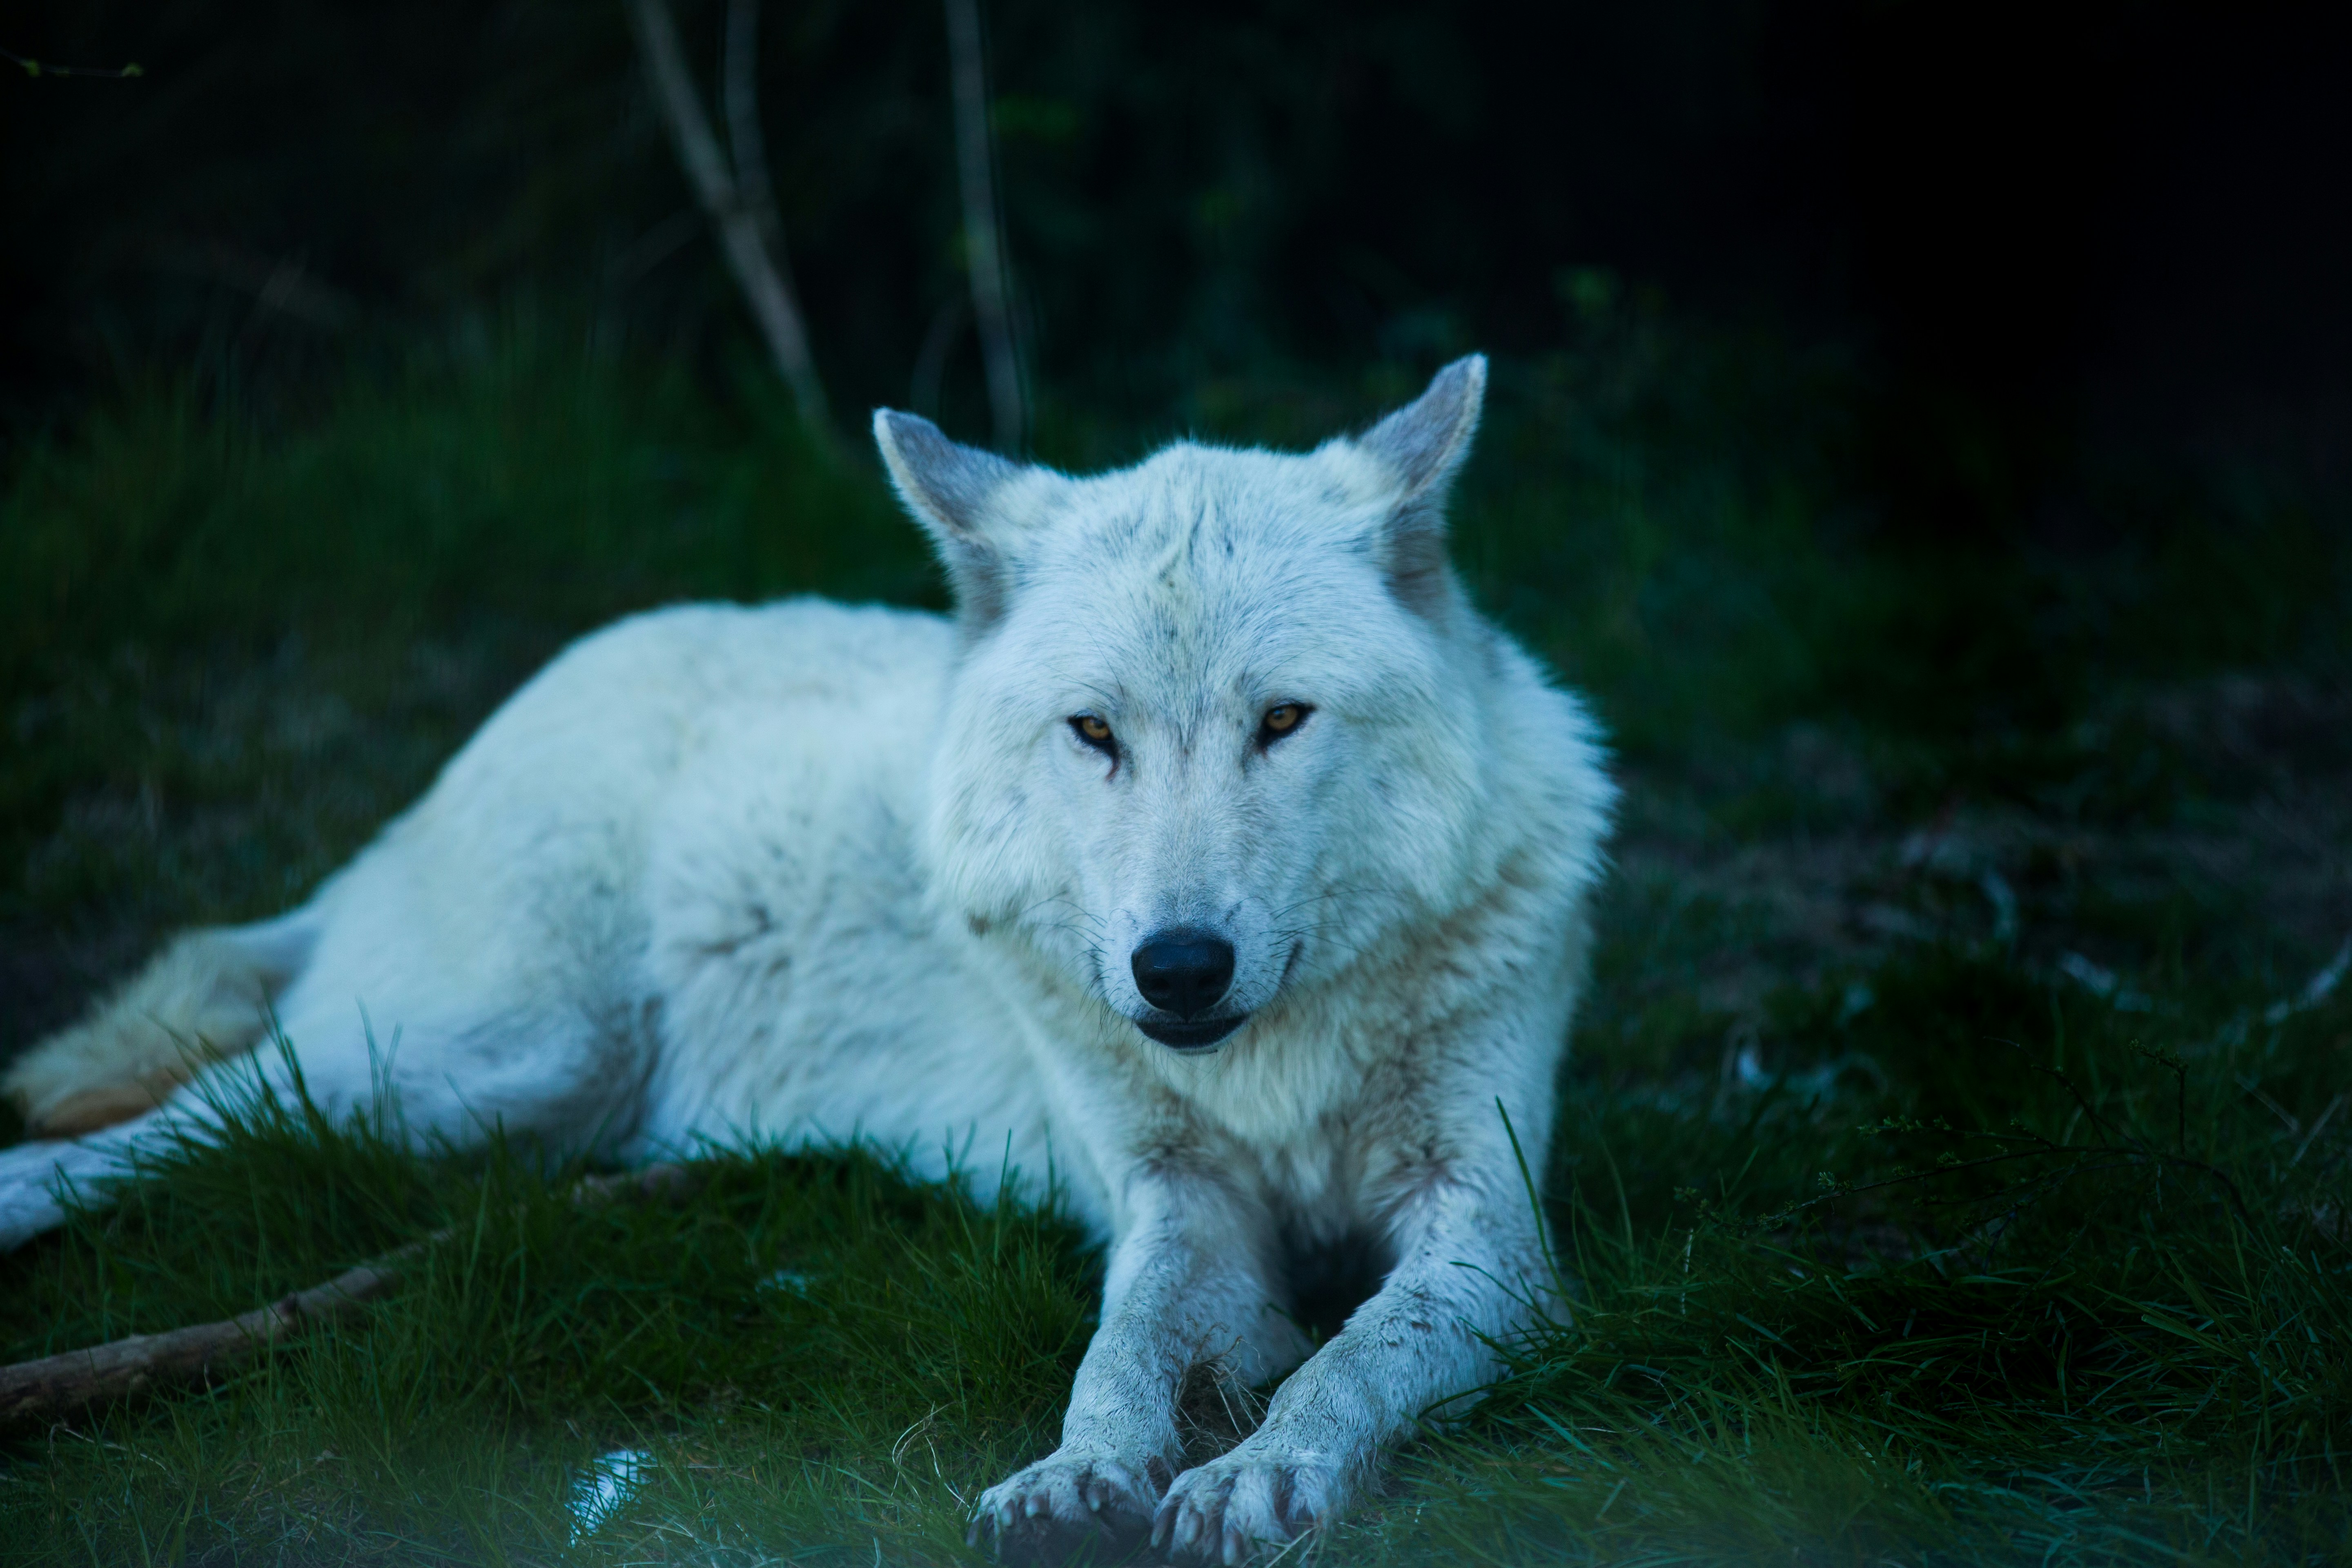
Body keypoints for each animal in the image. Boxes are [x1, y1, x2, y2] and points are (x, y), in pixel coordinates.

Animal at [0, 356, 1613, 1562]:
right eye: (1094, 732)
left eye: (1281, 720)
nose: (1177, 969)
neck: (1273, 1077)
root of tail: (471, 749)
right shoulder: (1176, 1209)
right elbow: (1119, 1350)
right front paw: (1075, 1476)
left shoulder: (1488, 1228)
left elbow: (1359, 1351)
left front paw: (1254, 1476)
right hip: (484, 1062)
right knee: (159, 1128)